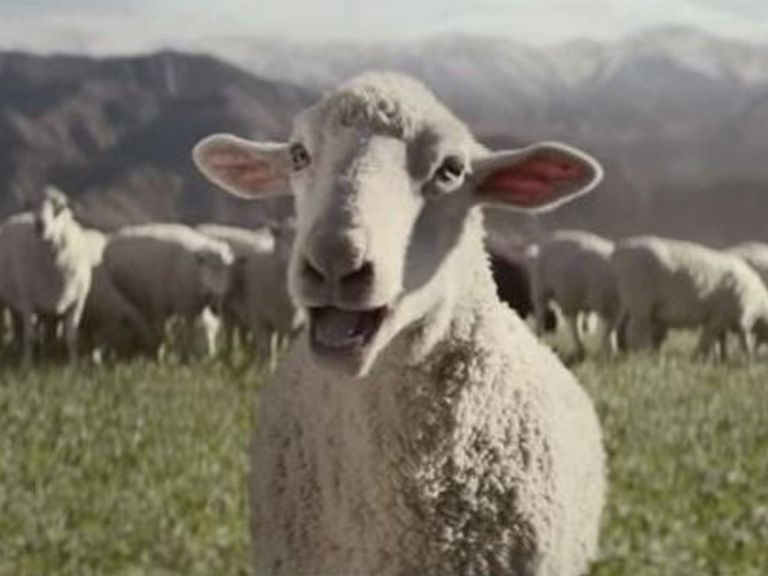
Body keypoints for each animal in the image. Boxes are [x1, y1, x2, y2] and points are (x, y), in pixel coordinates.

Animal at [0, 188, 101, 363]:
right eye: (33, 205)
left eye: (60, 207)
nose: (39, 225)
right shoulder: (28, 302)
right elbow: (30, 337)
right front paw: (26, 365)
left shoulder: (77, 303)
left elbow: (71, 337)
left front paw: (73, 364)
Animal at [101, 223, 234, 357]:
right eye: (212, 266)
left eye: (227, 266)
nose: (221, 290)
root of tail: (118, 234)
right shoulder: (178, 304)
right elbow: (183, 331)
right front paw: (183, 354)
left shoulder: (197, 304)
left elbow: (202, 328)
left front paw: (206, 353)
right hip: (148, 301)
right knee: (155, 327)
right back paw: (159, 351)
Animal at [527, 230, 619, 361]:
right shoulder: (605, 306)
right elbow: (606, 333)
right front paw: (608, 356)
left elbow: (610, 332)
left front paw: (611, 354)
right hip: (541, 289)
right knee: (542, 313)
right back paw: (541, 337)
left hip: (571, 296)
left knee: (572, 321)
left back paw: (579, 349)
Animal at [612, 236, 768, 359]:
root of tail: (622, 249)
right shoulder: (723, 316)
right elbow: (712, 339)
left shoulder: (722, 318)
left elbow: (720, 338)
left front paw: (721, 359)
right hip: (641, 301)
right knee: (636, 332)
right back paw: (643, 354)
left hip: (629, 302)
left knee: (621, 329)